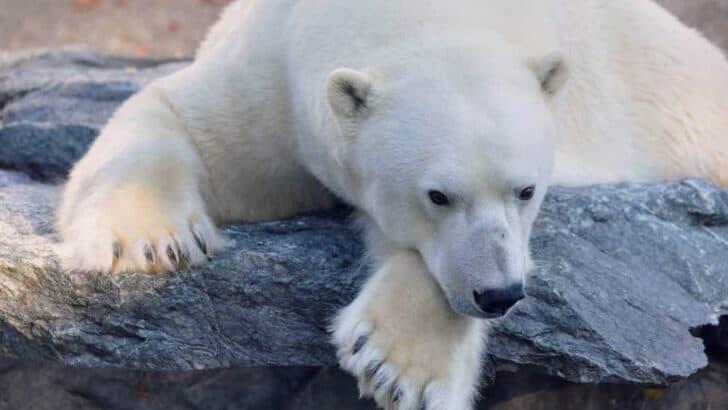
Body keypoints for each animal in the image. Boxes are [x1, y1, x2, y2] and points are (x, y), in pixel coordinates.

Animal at [56, 0, 728, 409]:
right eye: (438, 195)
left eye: (526, 190)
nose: (499, 295)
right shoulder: (273, 72)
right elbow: (177, 115)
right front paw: (150, 242)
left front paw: (396, 368)